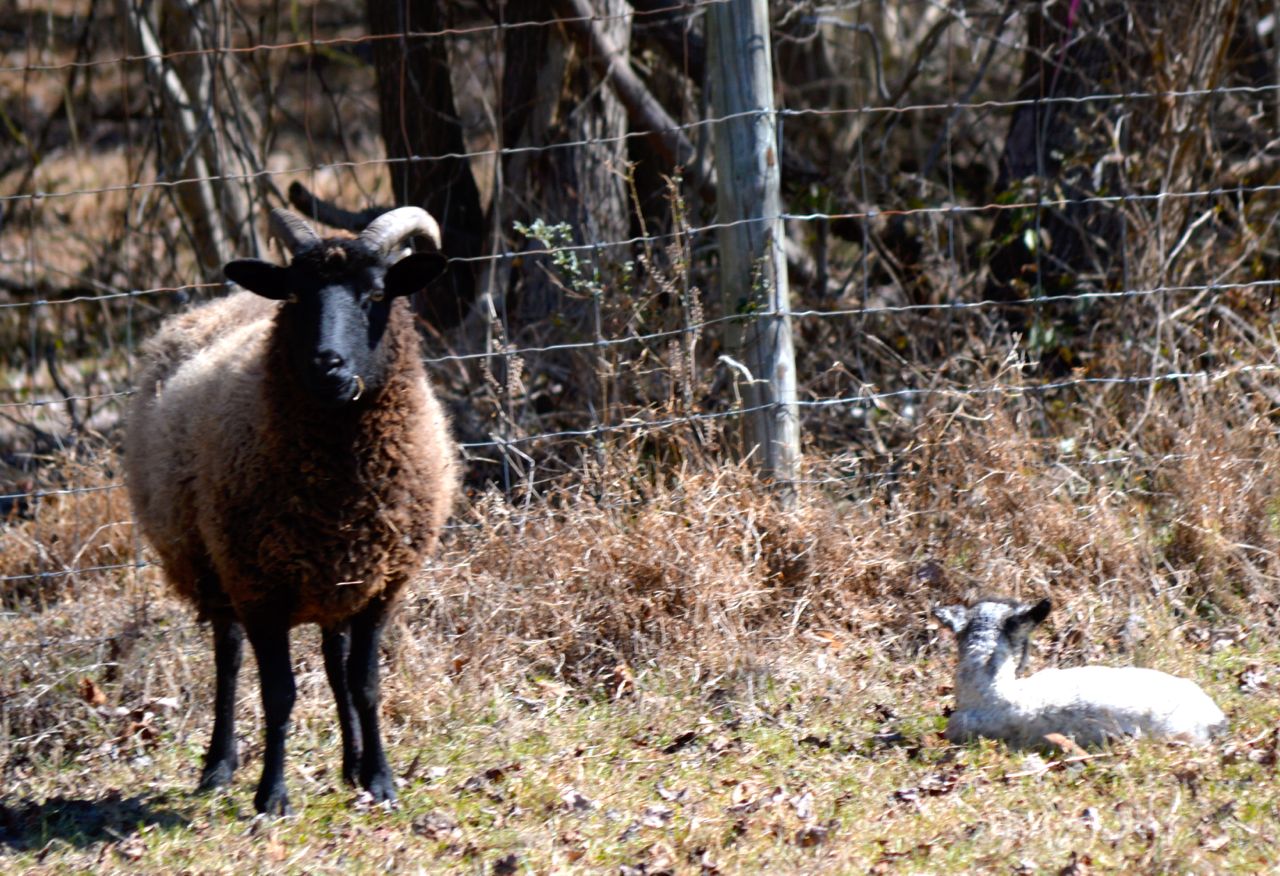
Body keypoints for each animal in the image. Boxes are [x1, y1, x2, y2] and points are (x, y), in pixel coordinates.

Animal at [125, 206, 460, 815]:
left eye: (377, 294)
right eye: (298, 296)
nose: (327, 365)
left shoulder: (383, 584)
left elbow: (365, 683)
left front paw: (379, 780)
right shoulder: (258, 586)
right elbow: (278, 692)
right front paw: (272, 795)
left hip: (336, 576)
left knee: (334, 662)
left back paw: (350, 763)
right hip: (215, 566)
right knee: (229, 659)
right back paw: (218, 767)